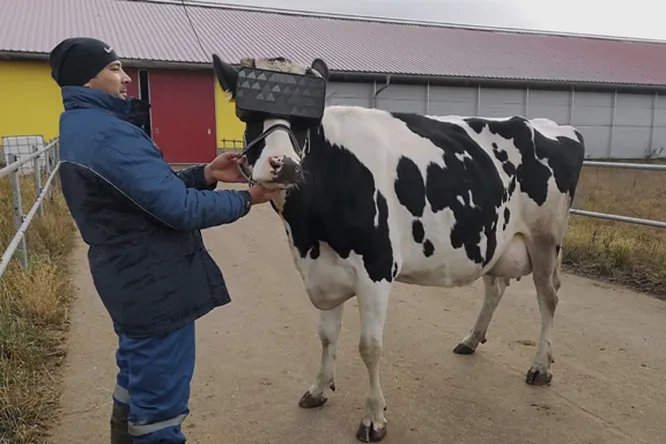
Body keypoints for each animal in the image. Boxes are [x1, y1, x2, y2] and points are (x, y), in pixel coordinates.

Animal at [211, 53, 580, 442]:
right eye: (246, 114)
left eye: (305, 122)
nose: (284, 165)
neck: (308, 232)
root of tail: (551, 126)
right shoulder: (324, 270)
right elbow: (327, 336)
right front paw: (319, 389)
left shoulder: (376, 269)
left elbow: (369, 347)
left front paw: (373, 418)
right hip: (497, 238)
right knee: (495, 286)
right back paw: (471, 339)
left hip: (546, 239)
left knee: (548, 298)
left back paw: (540, 366)